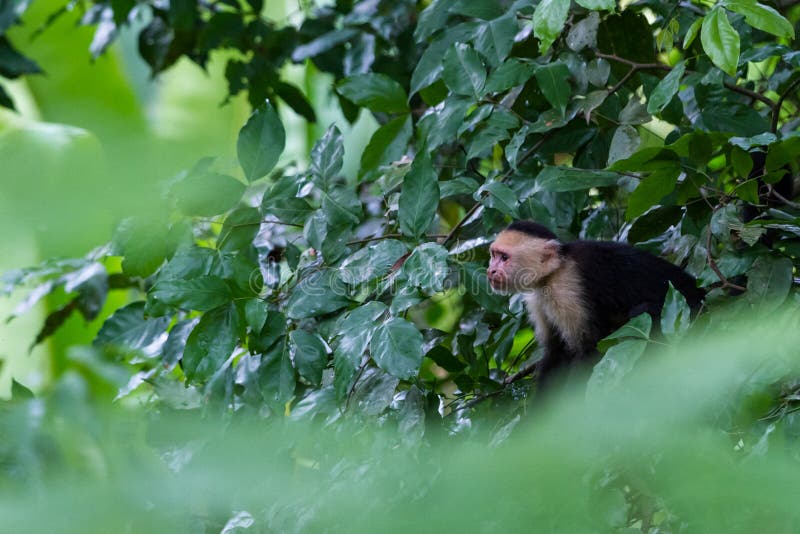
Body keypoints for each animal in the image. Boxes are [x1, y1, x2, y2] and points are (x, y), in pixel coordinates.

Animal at [488, 221, 705, 390]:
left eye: (504, 258)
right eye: (493, 255)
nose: (490, 271)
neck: (553, 272)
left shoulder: (566, 289)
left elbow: (588, 349)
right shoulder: (537, 297)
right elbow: (555, 352)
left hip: (691, 311)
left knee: (644, 312)